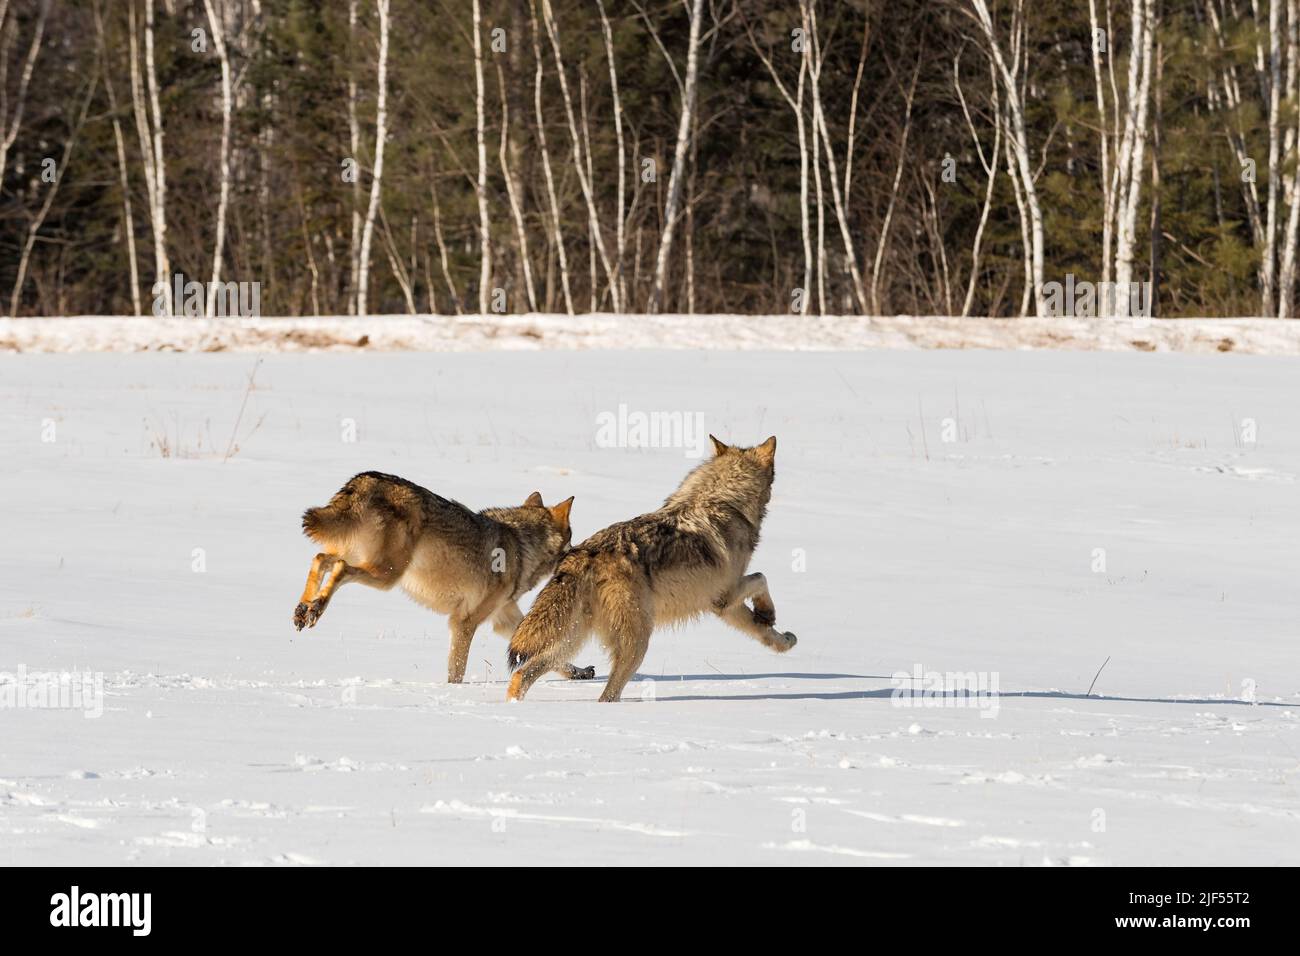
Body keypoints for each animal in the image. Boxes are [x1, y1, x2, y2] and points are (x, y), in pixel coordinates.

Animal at [293, 471, 594, 684]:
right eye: (571, 540)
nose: (580, 552)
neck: (521, 544)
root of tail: (368, 477)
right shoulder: (464, 621)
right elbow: (456, 671)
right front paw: (453, 692)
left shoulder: (503, 618)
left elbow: (544, 652)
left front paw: (580, 672)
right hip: (386, 576)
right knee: (340, 568)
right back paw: (316, 609)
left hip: (364, 561)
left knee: (320, 559)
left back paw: (303, 610)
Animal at [505, 436, 796, 702]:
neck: (722, 500)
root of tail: (584, 553)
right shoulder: (725, 596)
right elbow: (761, 577)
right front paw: (768, 613)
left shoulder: (725, 608)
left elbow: (764, 631)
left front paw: (783, 638)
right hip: (636, 644)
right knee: (607, 696)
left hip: (572, 640)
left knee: (522, 673)